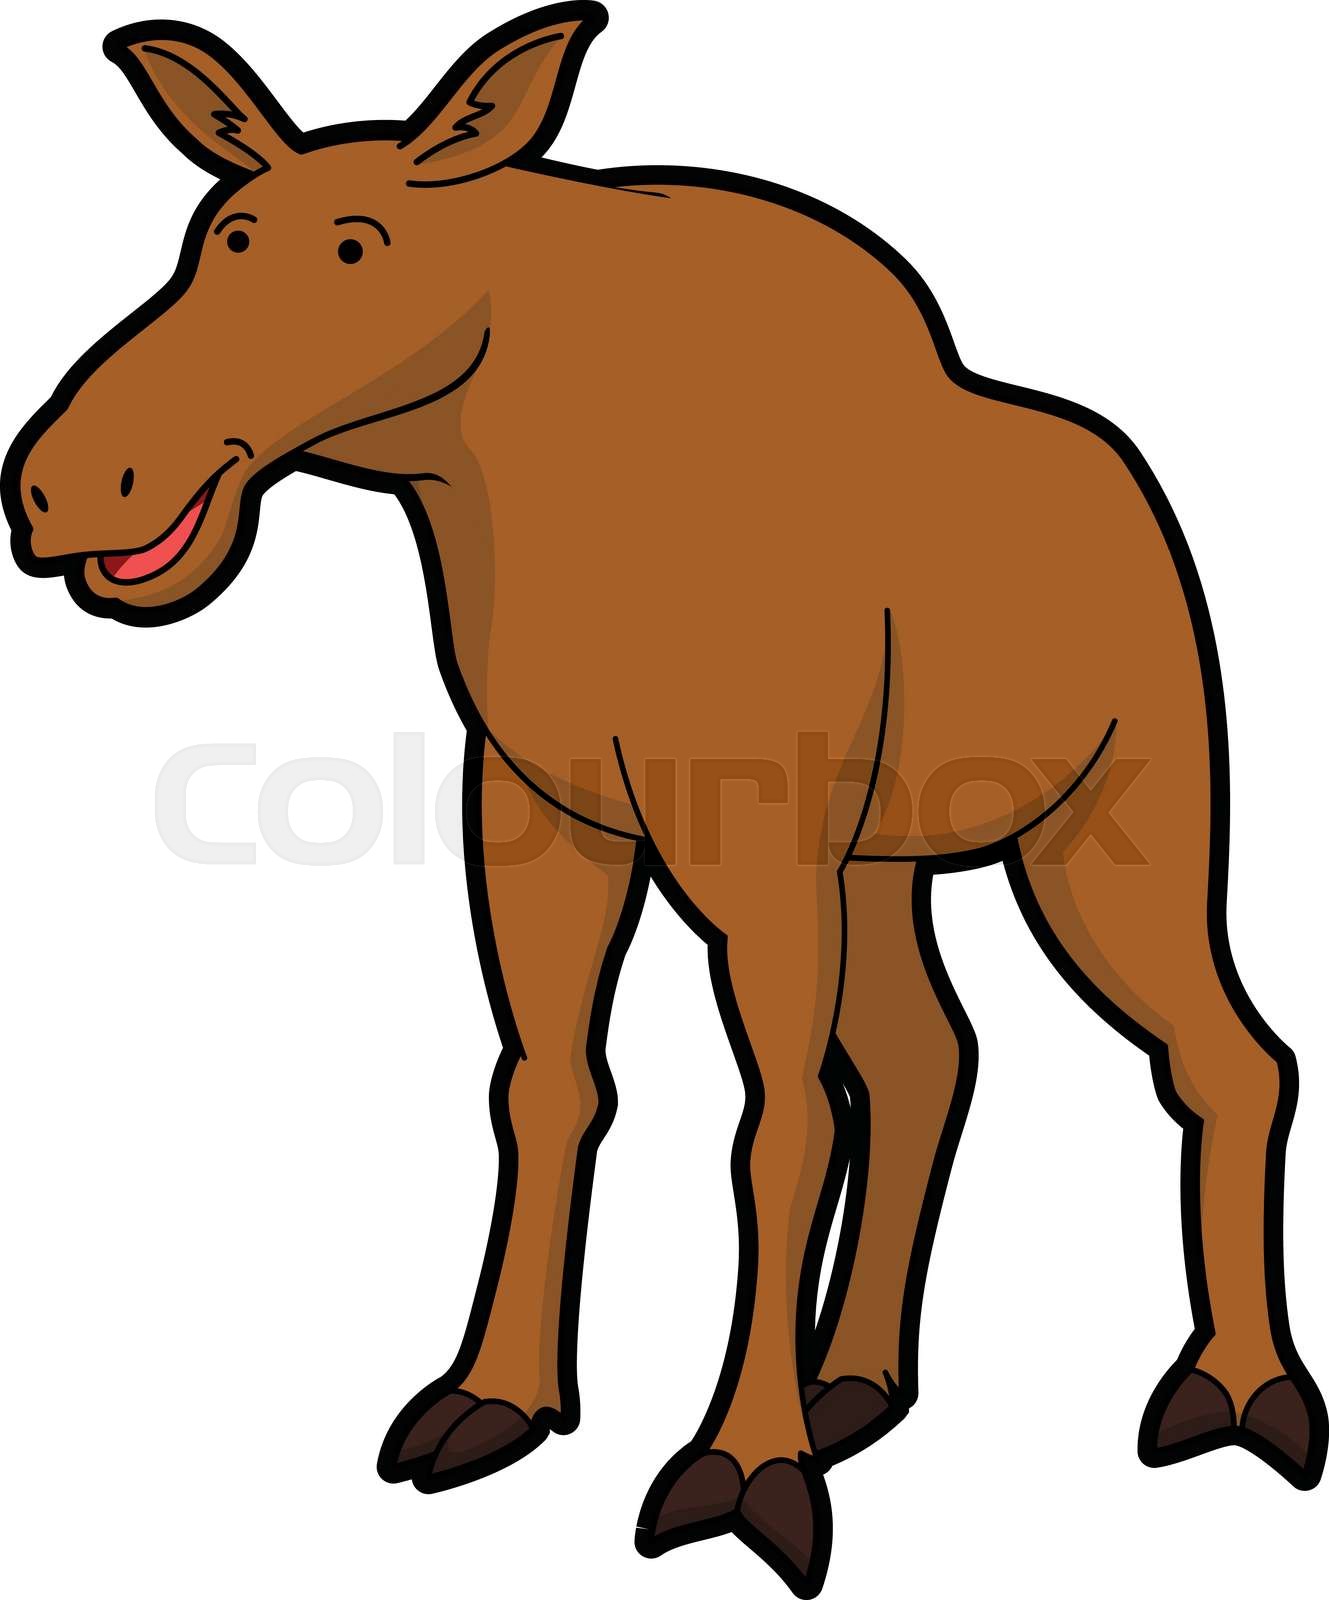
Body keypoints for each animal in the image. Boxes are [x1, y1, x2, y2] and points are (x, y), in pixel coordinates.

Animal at [6, 6, 1324, 1594]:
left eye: (357, 246)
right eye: (221, 235)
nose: (68, 484)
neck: (516, 495)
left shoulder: (752, 845)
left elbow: (779, 1128)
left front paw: (746, 1466)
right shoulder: (544, 818)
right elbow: (550, 1086)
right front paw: (499, 1395)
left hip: (1114, 824)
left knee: (1230, 1054)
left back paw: (1242, 1389)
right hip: (881, 867)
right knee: (928, 1057)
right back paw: (855, 1379)